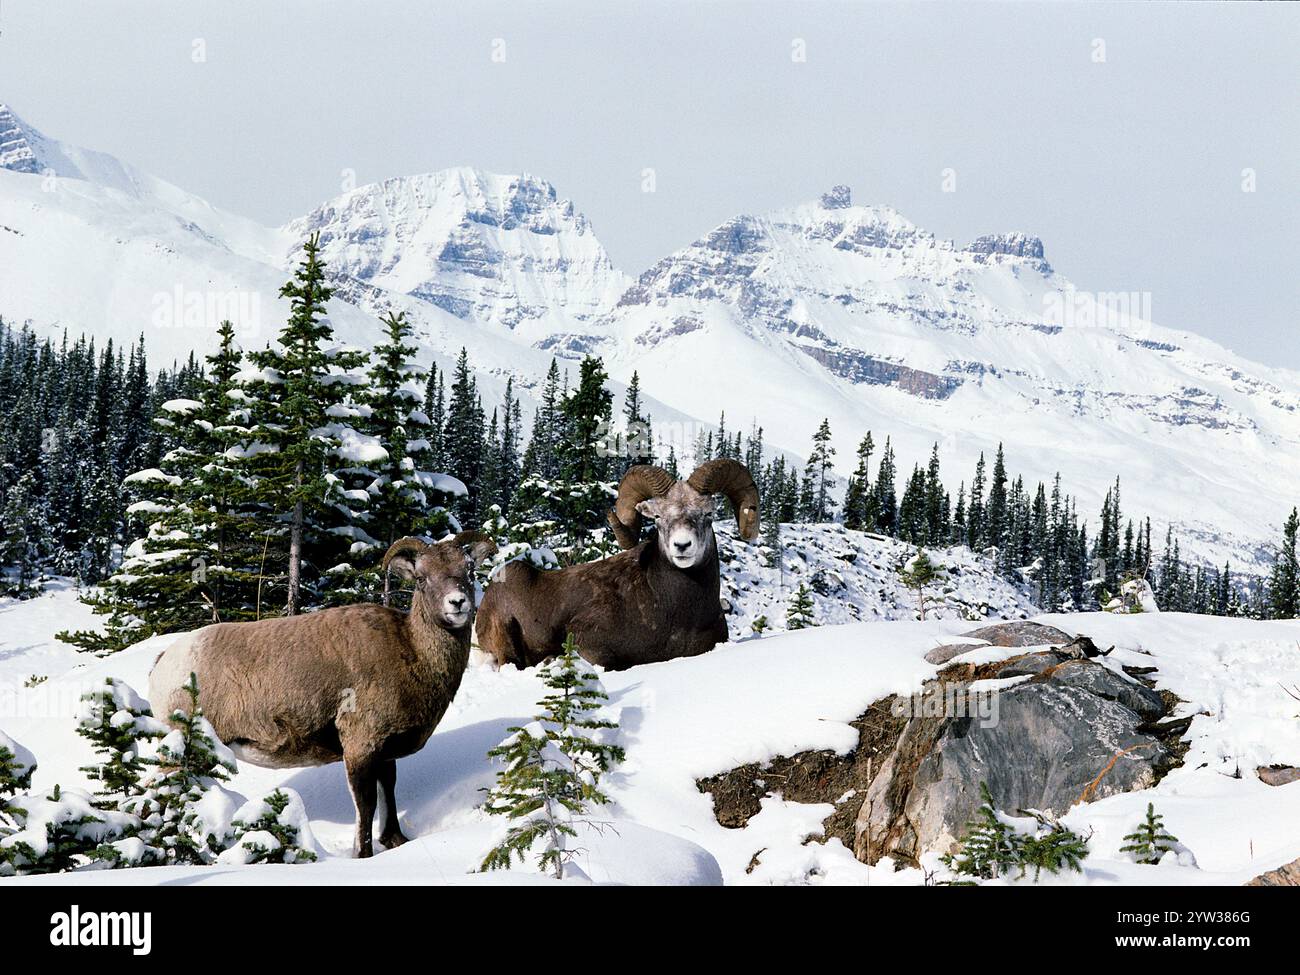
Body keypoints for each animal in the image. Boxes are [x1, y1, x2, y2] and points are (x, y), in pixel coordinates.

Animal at [147, 531, 496, 858]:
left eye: (469, 570)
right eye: (422, 578)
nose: (457, 603)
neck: (411, 650)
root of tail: (164, 662)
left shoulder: (384, 753)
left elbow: (389, 791)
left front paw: (395, 841)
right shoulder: (359, 746)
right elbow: (366, 804)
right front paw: (363, 855)